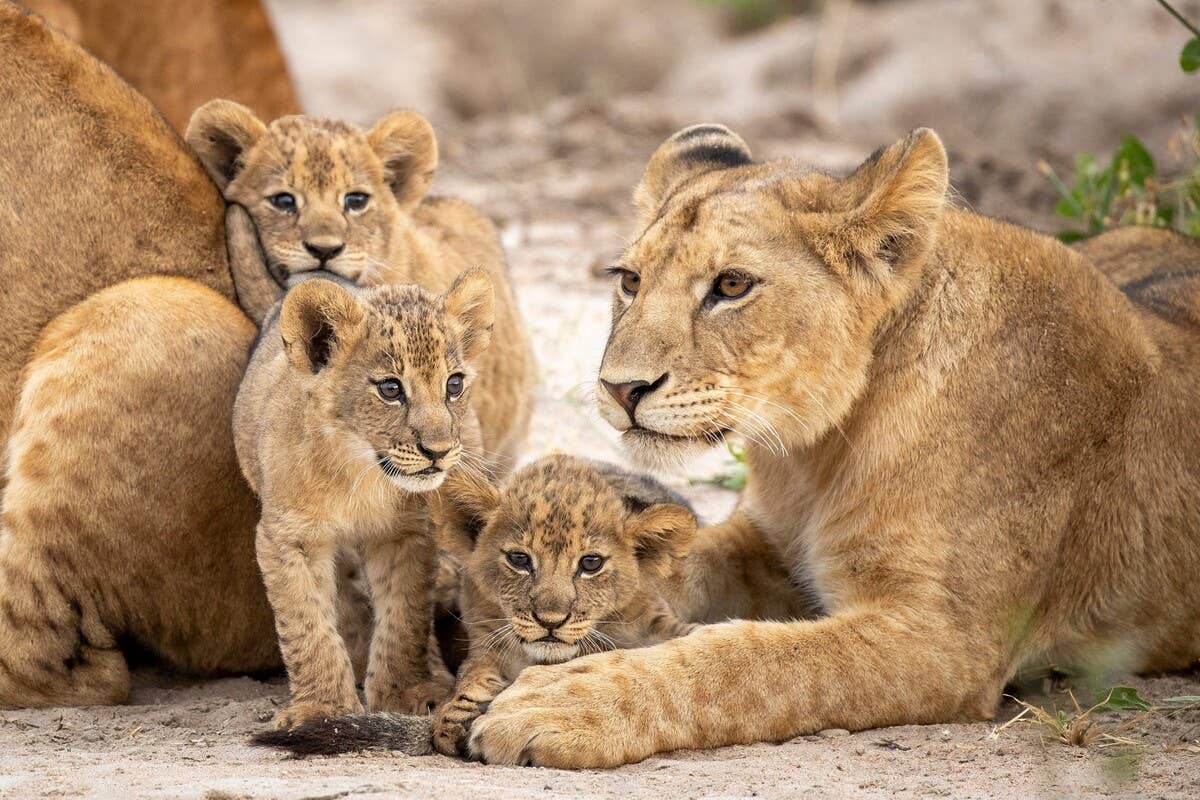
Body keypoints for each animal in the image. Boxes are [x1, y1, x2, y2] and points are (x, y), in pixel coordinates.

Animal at [237, 271, 494, 727]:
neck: (358, 473)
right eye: (390, 388)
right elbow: (306, 624)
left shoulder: (405, 534)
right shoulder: (288, 537)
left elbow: (405, 618)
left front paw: (403, 693)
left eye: (454, 384)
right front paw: (323, 708)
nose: (439, 451)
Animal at [250, 455, 698, 757]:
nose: (551, 621)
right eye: (519, 559)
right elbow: (473, 676)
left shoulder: (661, 624)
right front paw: (456, 716)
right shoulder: (486, 638)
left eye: (591, 564)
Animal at [458, 124, 1200, 768]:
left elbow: (752, 661)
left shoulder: (945, 641)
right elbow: (663, 569)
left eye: (732, 285)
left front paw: (563, 699)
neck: (817, 451)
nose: (620, 388)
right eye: (630, 280)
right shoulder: (768, 544)